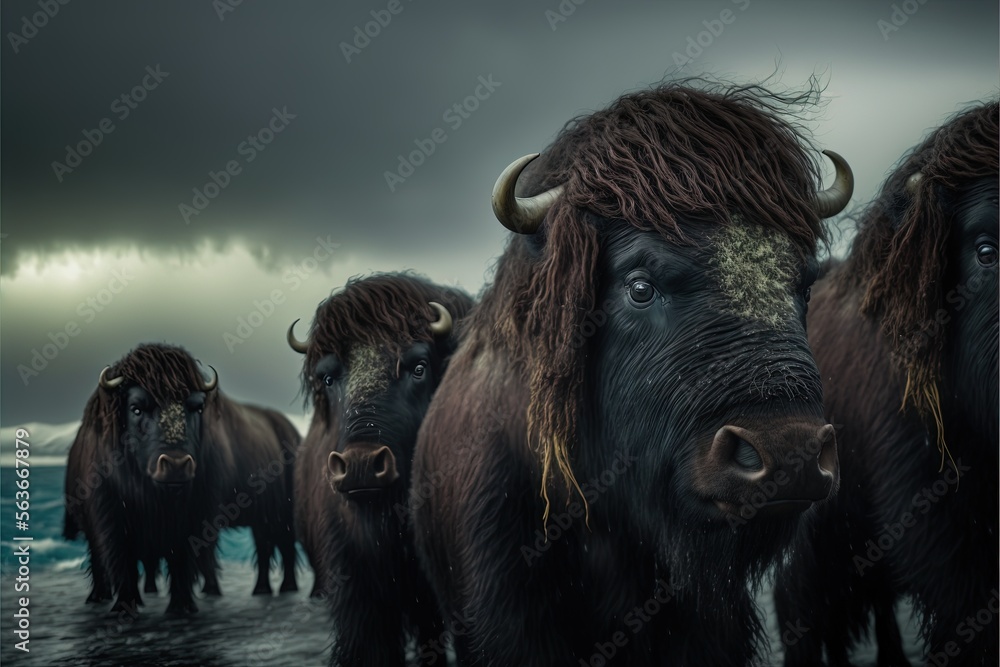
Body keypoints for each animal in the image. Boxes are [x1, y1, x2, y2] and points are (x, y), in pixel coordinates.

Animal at [63, 343, 301, 613]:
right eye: (136, 408)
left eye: (196, 407)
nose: (176, 464)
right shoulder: (109, 517)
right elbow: (122, 558)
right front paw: (125, 606)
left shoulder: (197, 515)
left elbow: (185, 557)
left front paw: (182, 606)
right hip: (263, 519)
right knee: (265, 547)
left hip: (281, 514)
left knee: (282, 545)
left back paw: (284, 588)